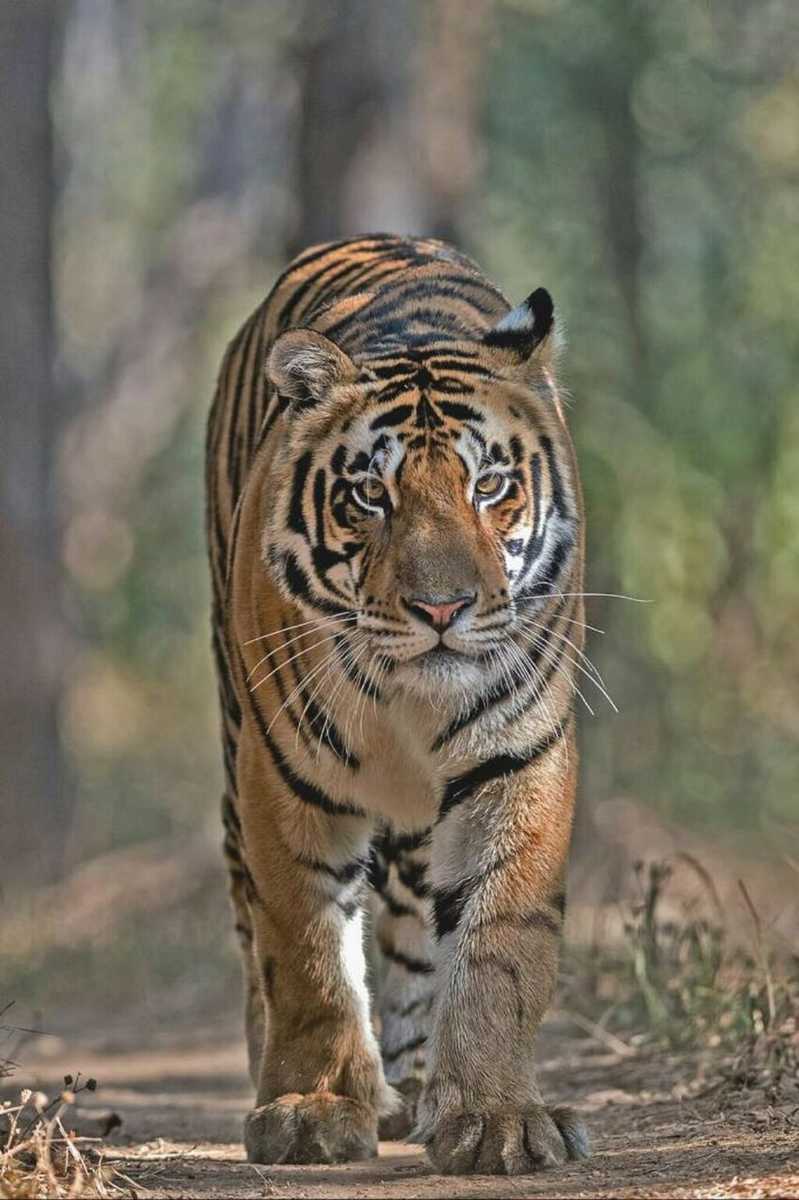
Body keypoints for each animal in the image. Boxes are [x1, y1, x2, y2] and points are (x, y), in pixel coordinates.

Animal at [205, 234, 590, 1175]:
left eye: (489, 487)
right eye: (369, 495)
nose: (442, 609)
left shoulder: (518, 757)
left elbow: (497, 944)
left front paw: (492, 1118)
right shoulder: (283, 775)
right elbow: (305, 948)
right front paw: (308, 1109)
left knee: (418, 928)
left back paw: (416, 1088)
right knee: (254, 932)